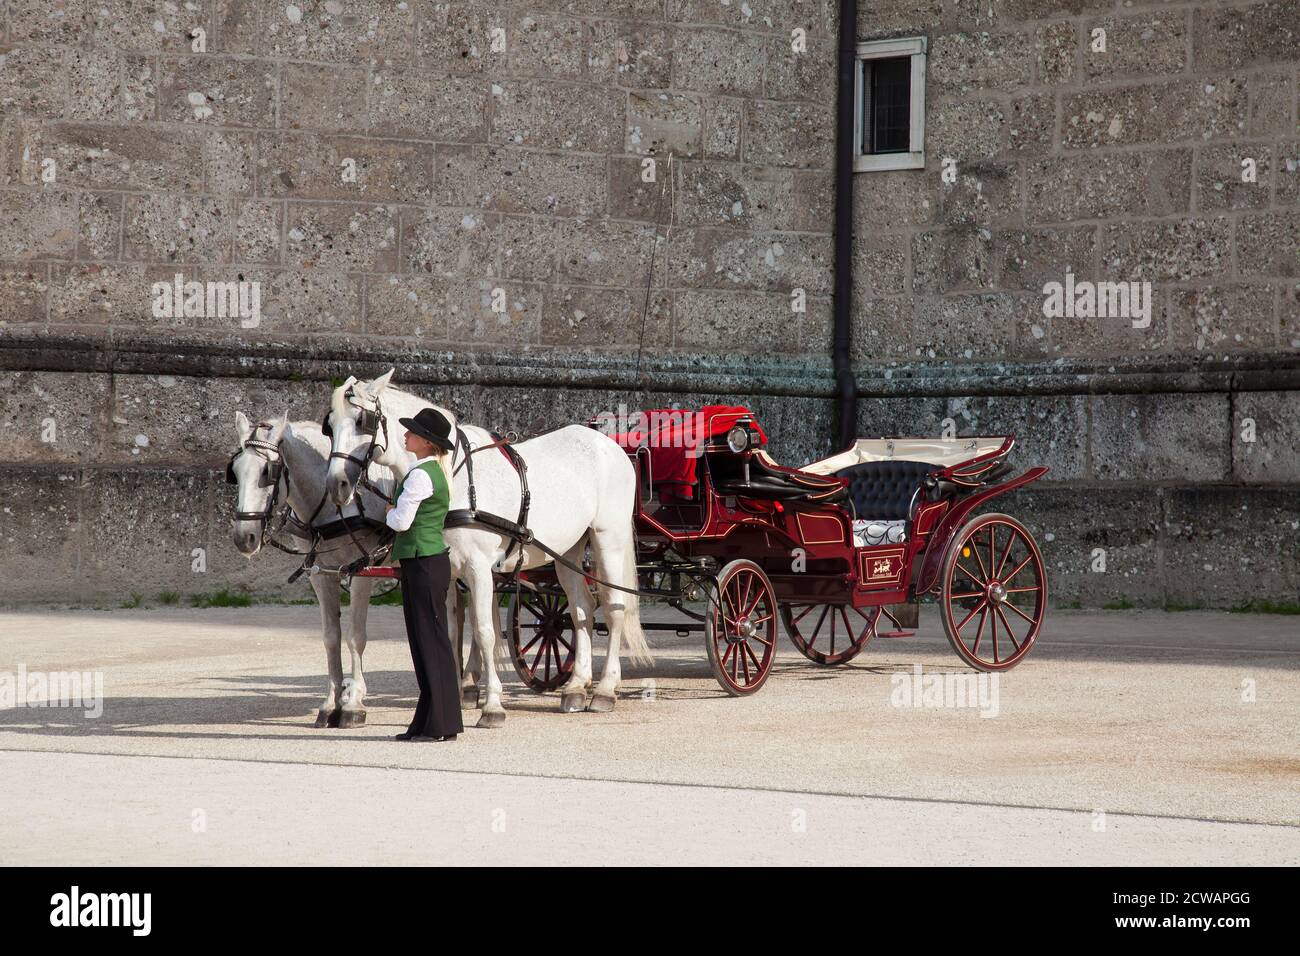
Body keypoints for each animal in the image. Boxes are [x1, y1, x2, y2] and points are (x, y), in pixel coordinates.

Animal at [228, 411, 395, 729]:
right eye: (235, 472)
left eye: (267, 472)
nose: (245, 538)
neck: (335, 504)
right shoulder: (319, 572)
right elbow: (331, 637)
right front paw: (332, 703)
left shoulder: (362, 569)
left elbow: (355, 635)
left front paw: (353, 703)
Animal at [323, 370, 650, 727]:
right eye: (330, 425)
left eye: (362, 421)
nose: (336, 485)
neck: (451, 475)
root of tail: (607, 443)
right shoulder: (450, 571)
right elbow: (454, 630)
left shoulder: (479, 568)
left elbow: (484, 632)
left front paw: (492, 705)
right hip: (568, 551)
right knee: (581, 610)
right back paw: (577, 686)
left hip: (609, 539)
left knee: (615, 607)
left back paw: (605, 689)